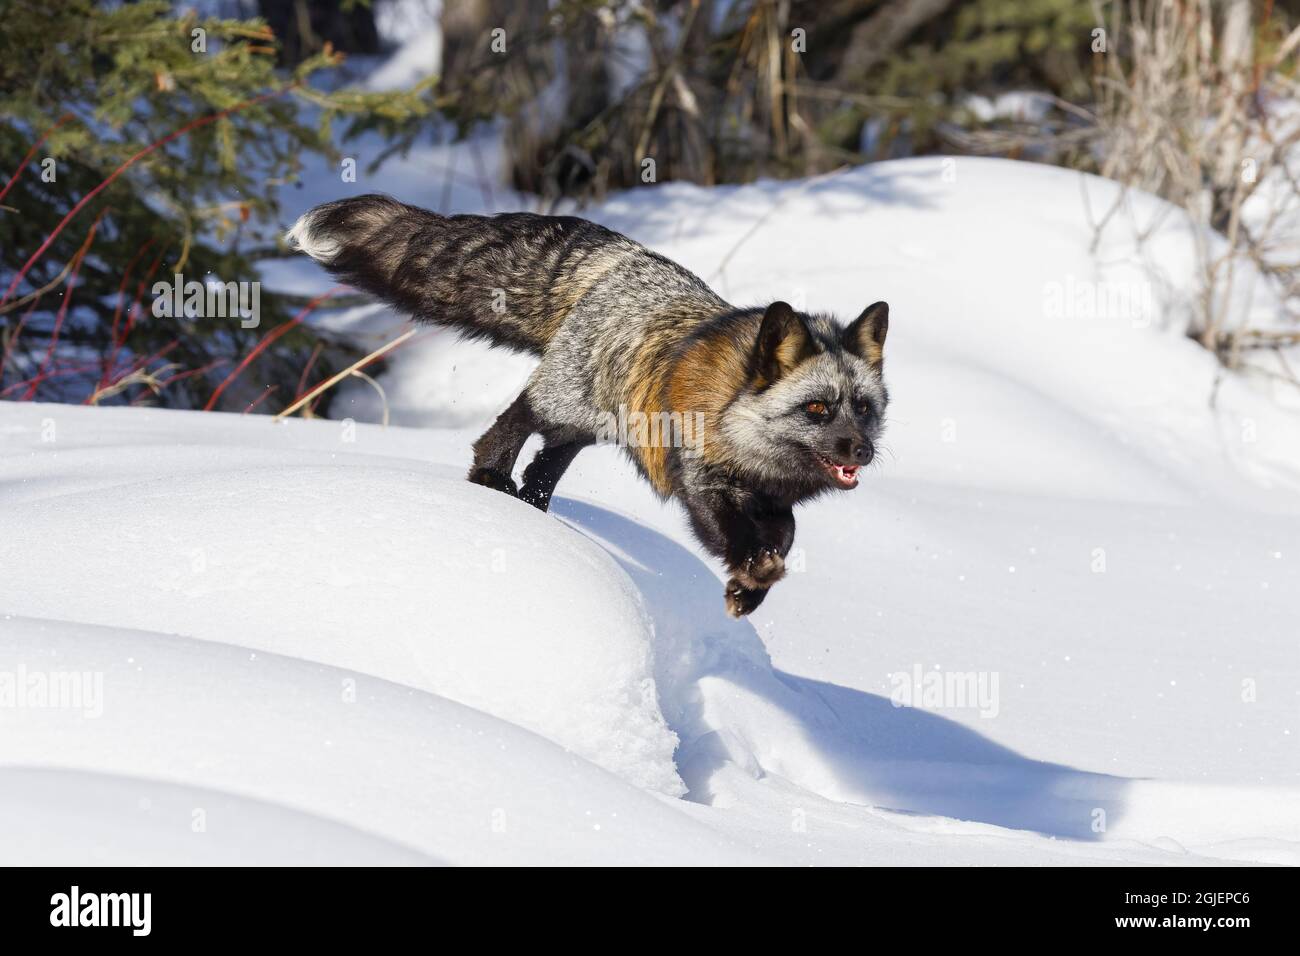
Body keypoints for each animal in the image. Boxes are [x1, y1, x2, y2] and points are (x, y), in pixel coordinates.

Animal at [286, 195, 889, 617]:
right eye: (817, 409)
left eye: (863, 408)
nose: (861, 451)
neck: (745, 436)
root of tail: (624, 256)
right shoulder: (701, 480)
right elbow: (733, 536)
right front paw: (752, 575)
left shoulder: (774, 503)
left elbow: (786, 538)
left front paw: (752, 589)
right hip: (566, 401)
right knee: (514, 420)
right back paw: (489, 475)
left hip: (596, 424)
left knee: (545, 465)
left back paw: (530, 509)